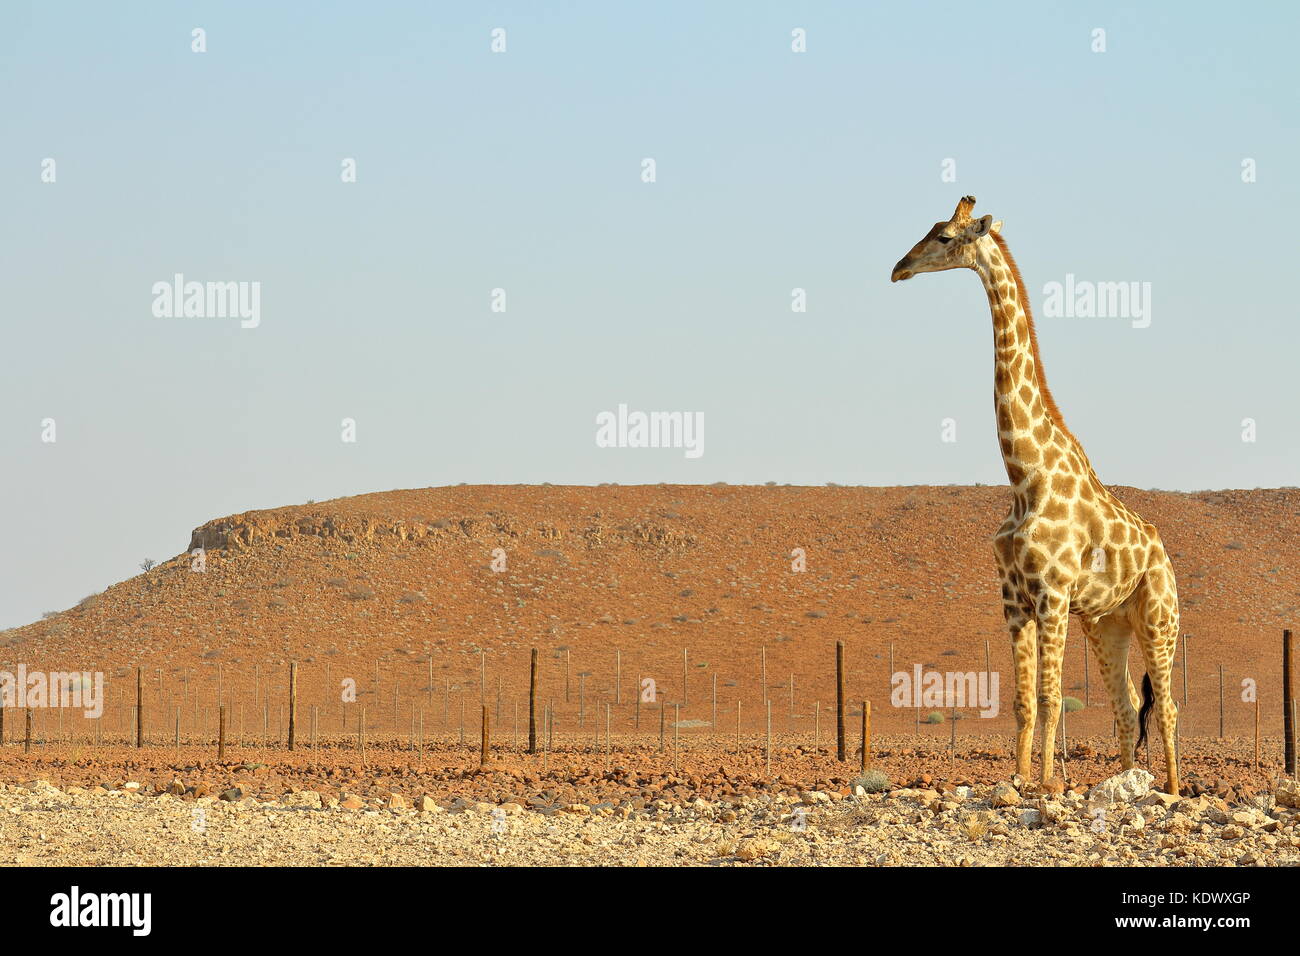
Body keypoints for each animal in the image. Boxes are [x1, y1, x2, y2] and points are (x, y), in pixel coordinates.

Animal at [890, 196, 1181, 794]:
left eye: (946, 236)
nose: (898, 268)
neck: (1025, 475)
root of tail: (1163, 553)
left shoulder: (1053, 594)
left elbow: (1050, 698)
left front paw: (1048, 784)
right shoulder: (1013, 600)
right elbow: (1024, 700)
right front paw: (1021, 778)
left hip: (1159, 616)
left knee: (1165, 704)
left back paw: (1172, 790)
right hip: (1107, 623)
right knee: (1126, 703)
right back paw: (1127, 781)